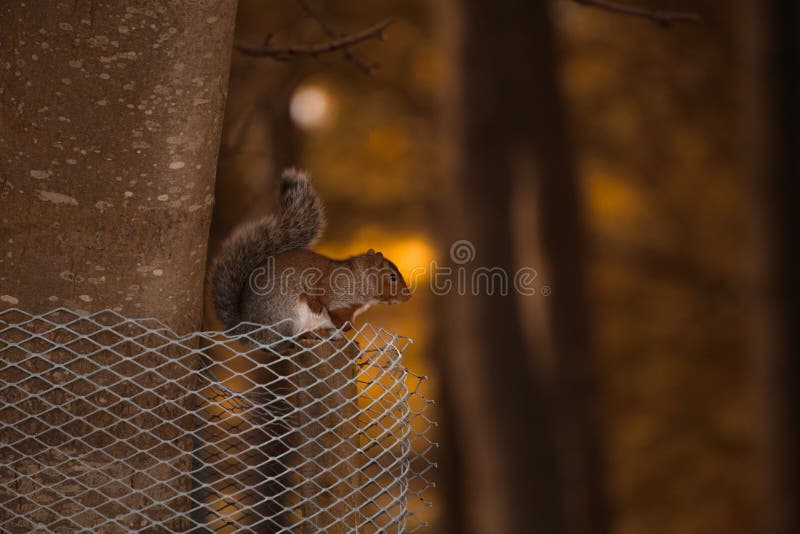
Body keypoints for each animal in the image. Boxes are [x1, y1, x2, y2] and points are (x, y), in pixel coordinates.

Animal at [208, 168, 411, 344]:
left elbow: (334, 328)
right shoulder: (336, 294)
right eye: (392, 277)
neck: (361, 280)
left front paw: (342, 337)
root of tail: (248, 331)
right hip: (285, 315)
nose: (408, 296)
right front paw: (345, 327)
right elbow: (330, 311)